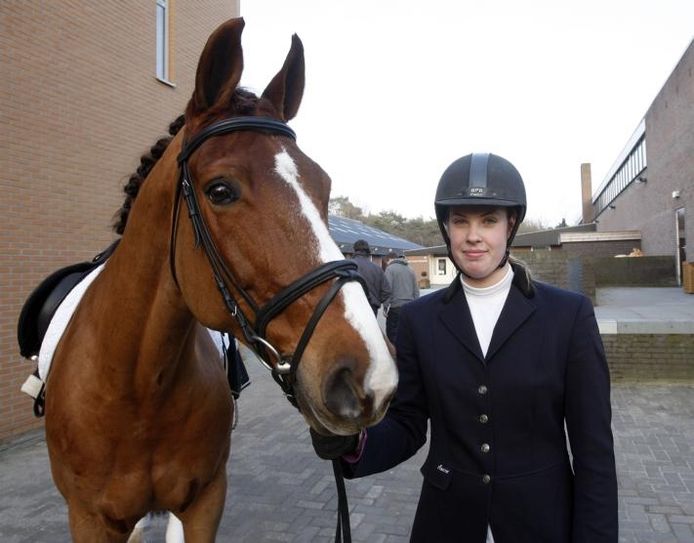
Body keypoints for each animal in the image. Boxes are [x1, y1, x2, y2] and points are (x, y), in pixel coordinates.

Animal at [43, 17, 398, 542]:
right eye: (220, 190)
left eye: (324, 185)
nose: (370, 375)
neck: (138, 387)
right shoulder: (90, 519)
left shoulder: (205, 501)